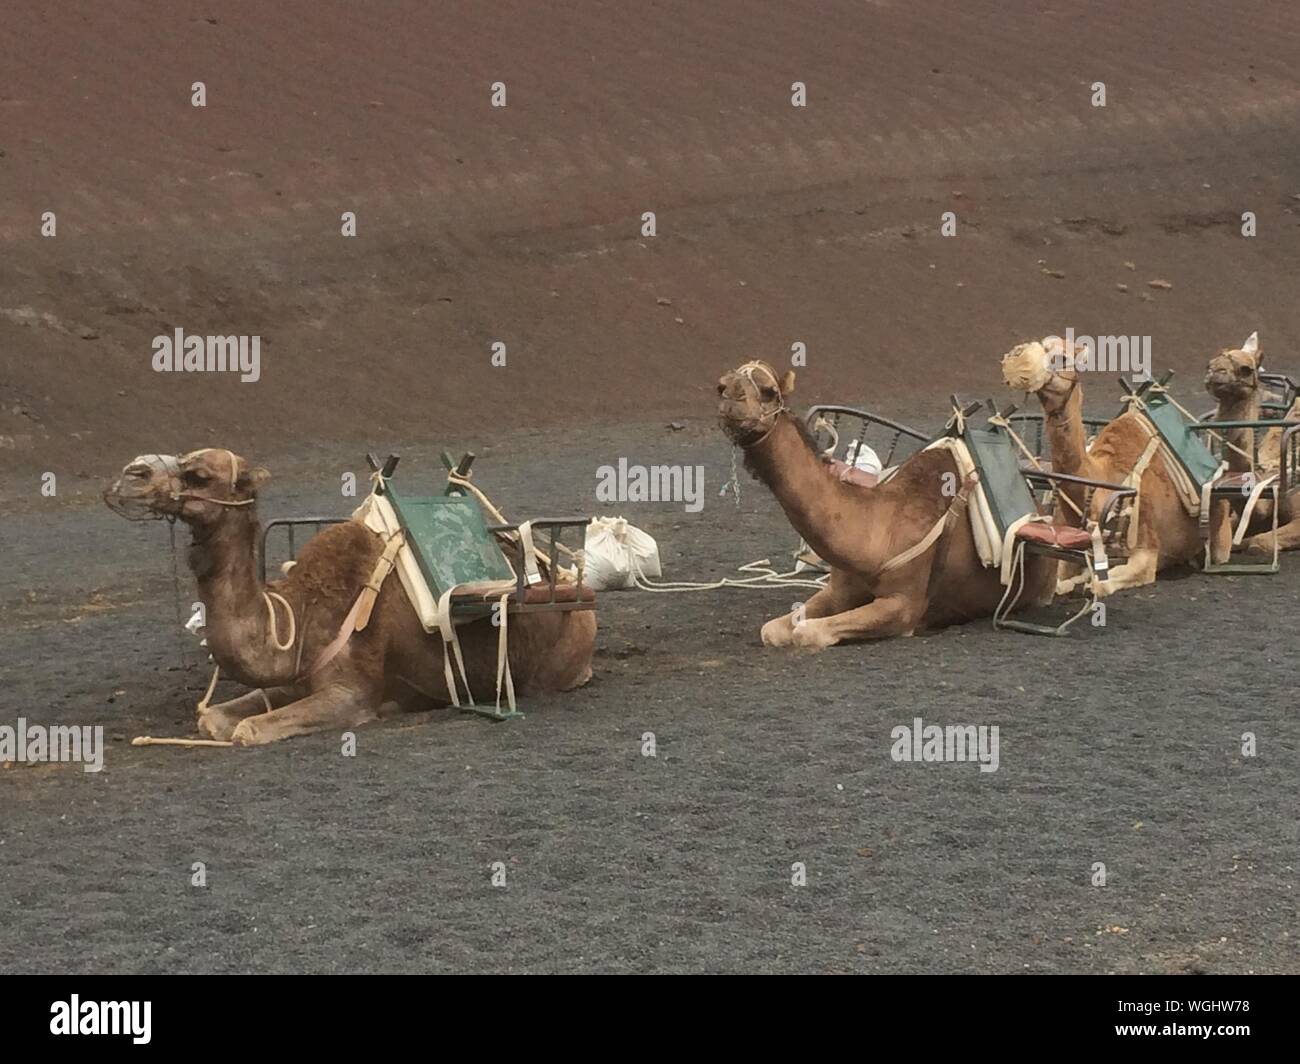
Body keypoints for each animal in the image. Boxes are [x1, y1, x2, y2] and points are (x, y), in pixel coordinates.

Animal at [104, 448, 596, 745]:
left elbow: (247, 731)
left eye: (199, 475)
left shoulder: (352, 693)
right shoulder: (293, 678)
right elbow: (214, 718)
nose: (130, 473)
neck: (297, 613)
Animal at [716, 360, 1057, 649]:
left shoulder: (904, 605)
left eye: (769, 390)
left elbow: (806, 633)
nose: (726, 390)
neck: (878, 530)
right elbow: (771, 630)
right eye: (724, 384)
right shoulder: (838, 590)